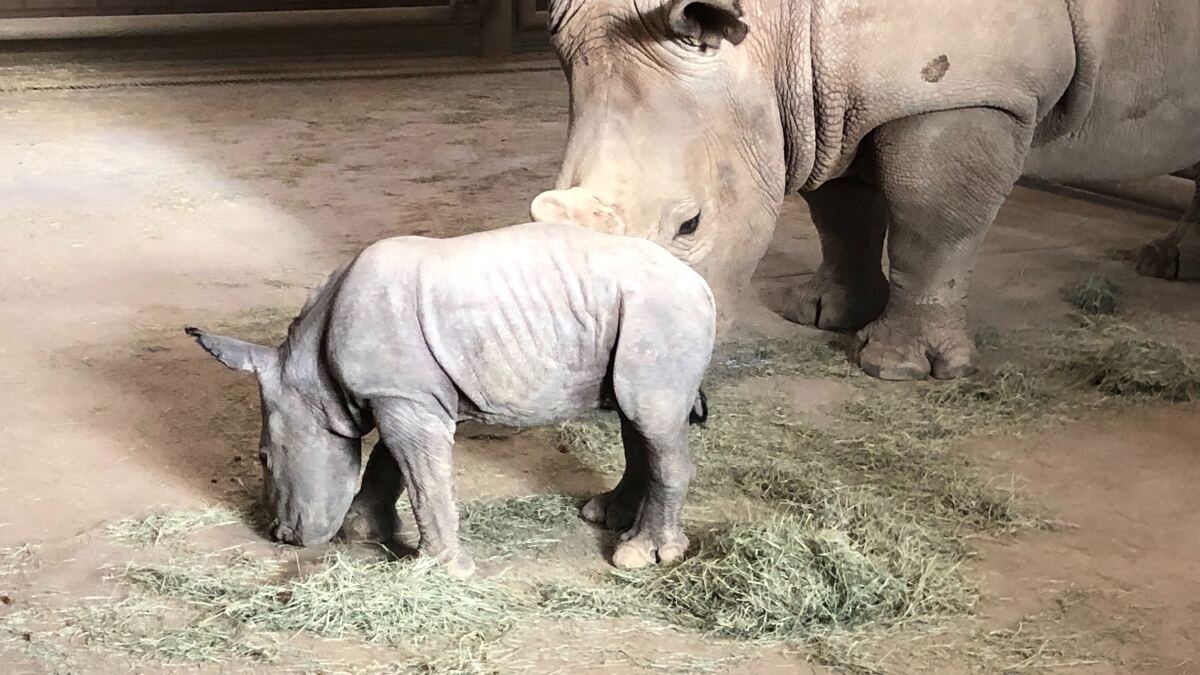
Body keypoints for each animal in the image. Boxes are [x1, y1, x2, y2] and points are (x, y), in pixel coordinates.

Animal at [187, 222, 716, 577]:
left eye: (263, 457)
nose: (282, 535)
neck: (311, 375)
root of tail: (699, 283)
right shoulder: (405, 392)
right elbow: (391, 462)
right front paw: (359, 532)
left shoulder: (402, 397)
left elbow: (422, 475)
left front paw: (438, 568)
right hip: (639, 314)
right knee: (637, 418)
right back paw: (605, 517)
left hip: (660, 311)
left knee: (652, 421)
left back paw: (636, 556)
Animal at [531, 0, 1200, 380]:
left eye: (689, 226)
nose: (603, 375)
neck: (776, 30)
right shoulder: (824, 100)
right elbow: (841, 211)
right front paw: (822, 315)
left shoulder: (966, 92)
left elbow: (932, 225)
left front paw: (903, 369)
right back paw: (1170, 266)